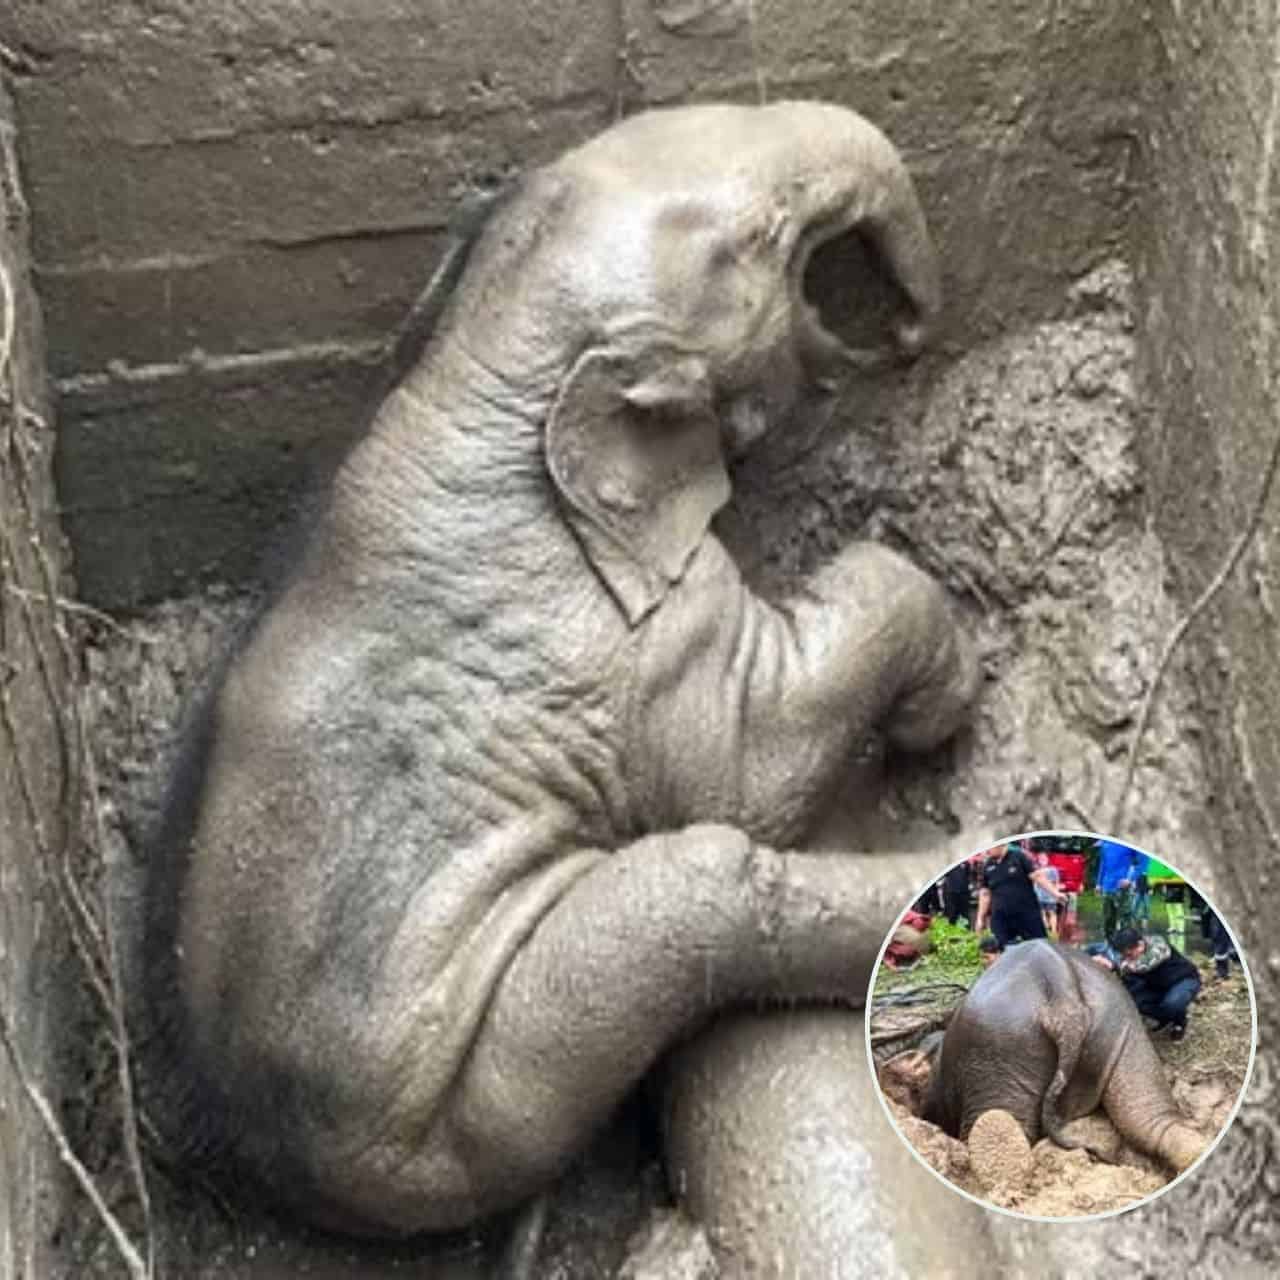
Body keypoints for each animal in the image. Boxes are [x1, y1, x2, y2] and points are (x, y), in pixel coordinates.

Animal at [144, 100, 978, 1246]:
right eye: (753, 243)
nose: (903, 337)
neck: (487, 368)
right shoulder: (632, 645)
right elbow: (752, 767)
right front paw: (943, 706)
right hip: (477, 1088)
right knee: (700, 884)